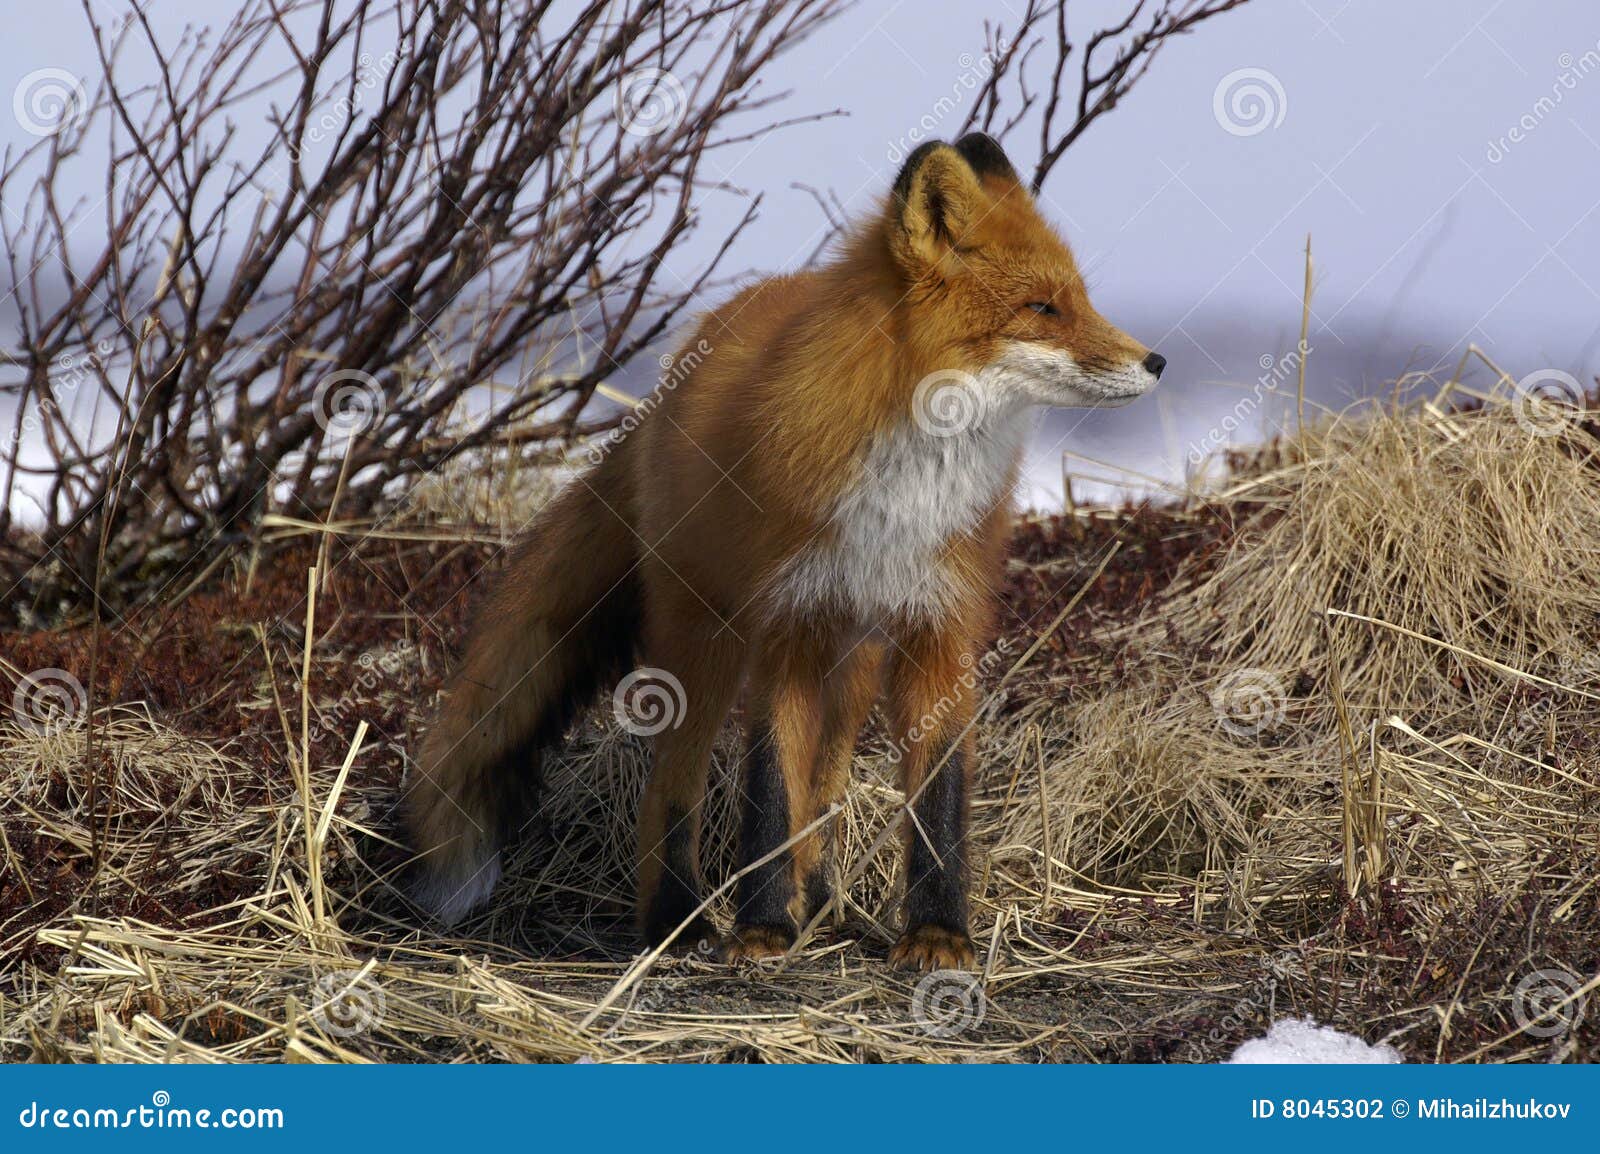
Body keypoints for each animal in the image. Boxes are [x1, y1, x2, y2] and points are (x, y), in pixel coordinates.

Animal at [405, 132, 1164, 971]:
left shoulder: (937, 625)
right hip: (702, 639)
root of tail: (670, 383)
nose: (1156, 362)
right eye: (1041, 307)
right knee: (673, 785)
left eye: (1080, 299)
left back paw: (820, 898)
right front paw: (761, 928)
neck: (905, 481)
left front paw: (937, 934)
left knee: (824, 784)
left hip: (856, 655)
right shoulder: (786, 622)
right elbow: (768, 785)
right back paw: (679, 921)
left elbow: (934, 799)